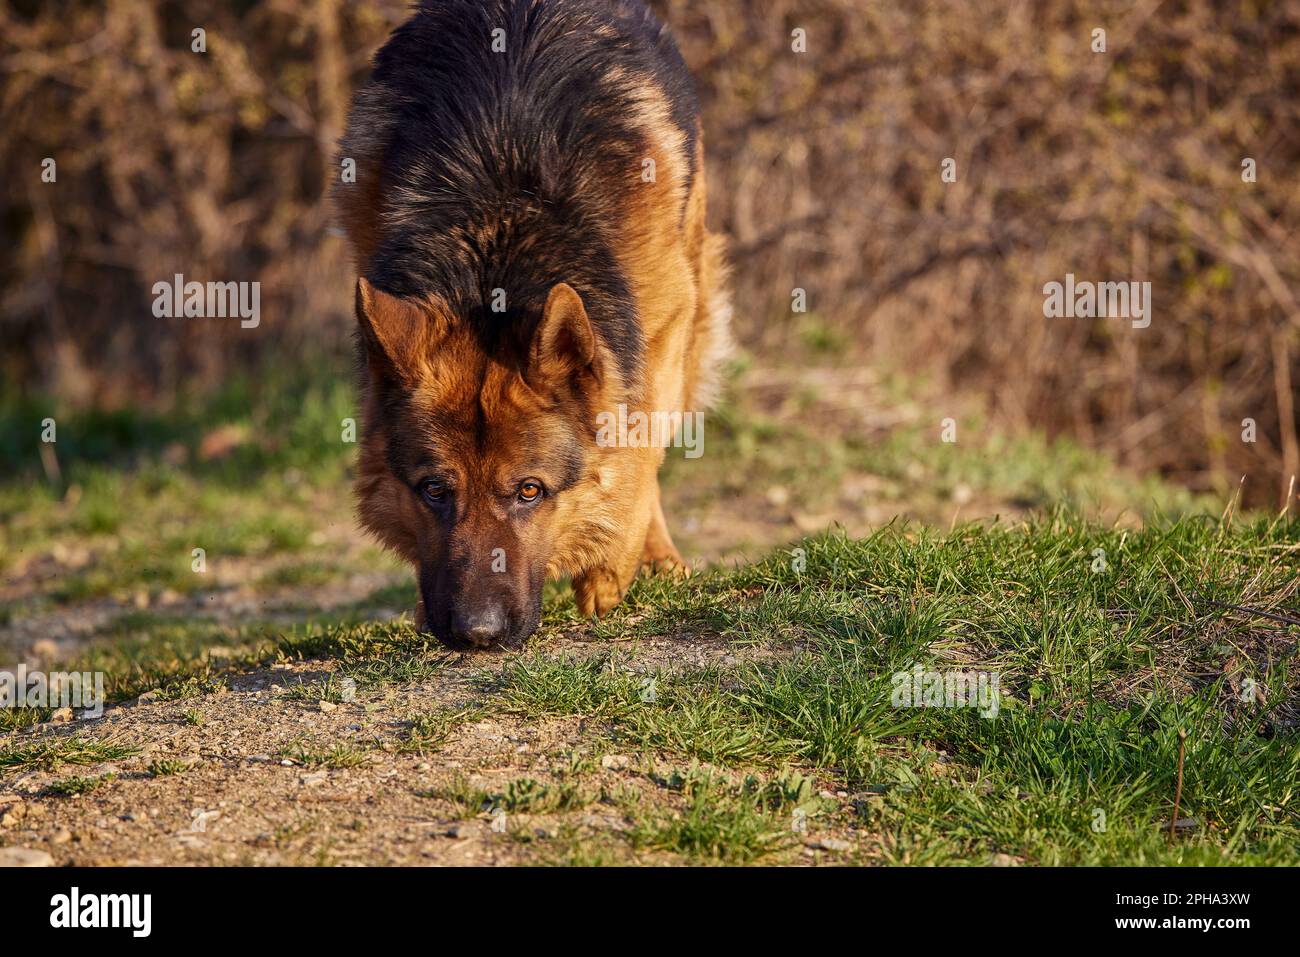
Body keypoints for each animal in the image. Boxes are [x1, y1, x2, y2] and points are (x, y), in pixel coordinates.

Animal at [336, 0, 730, 649]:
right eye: (434, 490)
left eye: (530, 491)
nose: (477, 633)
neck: (499, 212)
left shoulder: (661, 326)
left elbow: (636, 453)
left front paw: (608, 571)